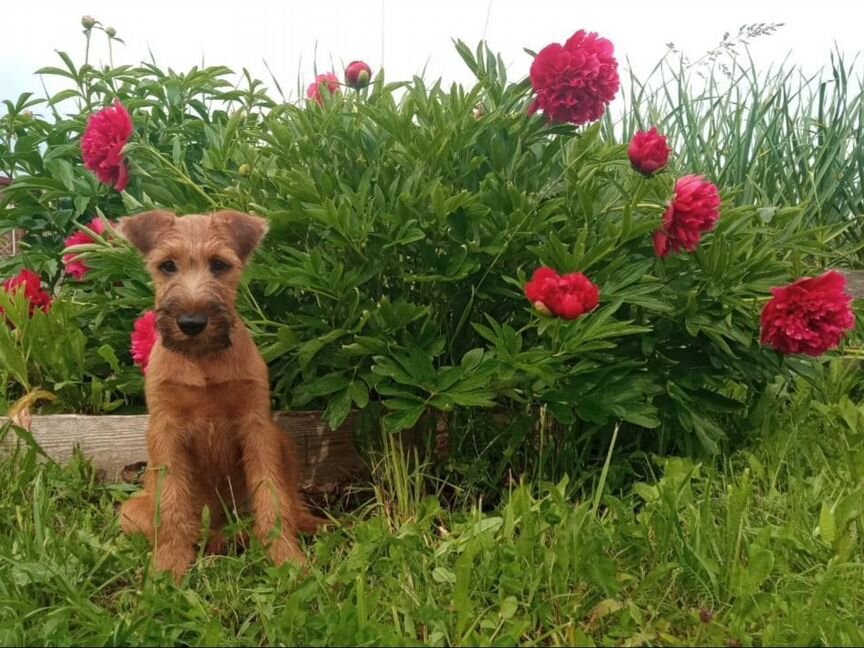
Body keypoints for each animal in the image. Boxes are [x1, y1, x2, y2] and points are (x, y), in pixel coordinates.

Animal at [118, 209, 324, 584]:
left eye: (219, 265)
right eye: (167, 266)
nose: (191, 322)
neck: (203, 361)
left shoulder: (257, 428)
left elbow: (272, 498)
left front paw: (287, 559)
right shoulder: (165, 430)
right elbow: (172, 504)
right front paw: (169, 567)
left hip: (283, 441)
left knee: (290, 505)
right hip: (130, 511)